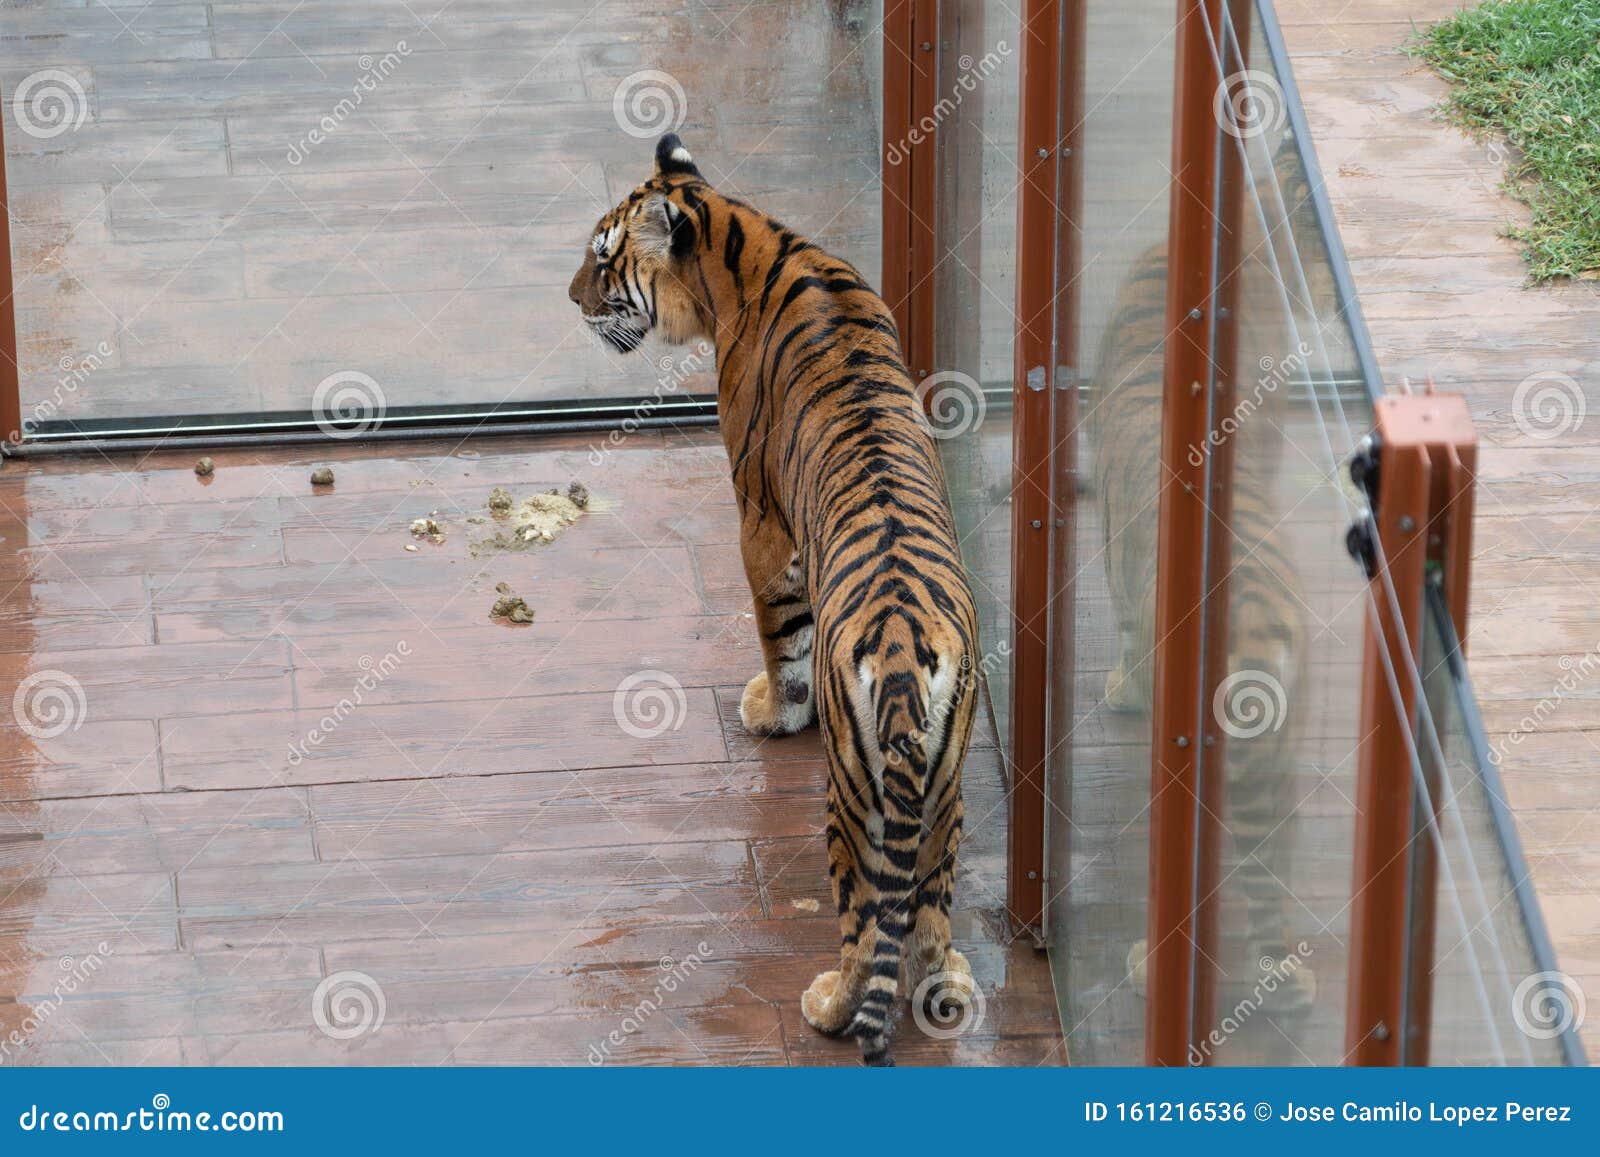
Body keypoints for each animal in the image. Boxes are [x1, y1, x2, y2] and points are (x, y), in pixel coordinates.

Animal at [568, 134, 981, 1066]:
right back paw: (949, 987)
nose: (570, 299)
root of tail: (904, 649)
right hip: (945, 788)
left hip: (855, 796)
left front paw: (771, 708)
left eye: (603, 259)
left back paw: (827, 1004)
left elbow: (778, 634)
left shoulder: (760, 519)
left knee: (866, 927)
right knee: (930, 915)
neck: (747, 239)